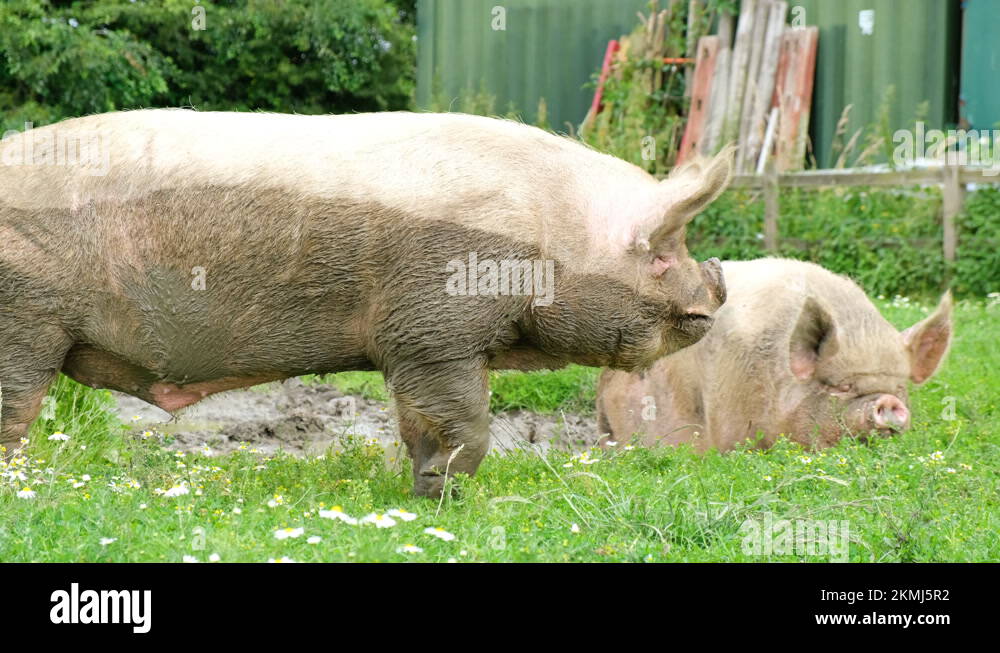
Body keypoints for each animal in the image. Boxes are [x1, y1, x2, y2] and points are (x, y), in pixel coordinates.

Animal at [0, 109, 732, 496]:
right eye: (658, 250)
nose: (713, 301)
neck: (548, 232)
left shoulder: (415, 342)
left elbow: (420, 423)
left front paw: (422, 491)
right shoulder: (433, 327)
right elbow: (466, 423)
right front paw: (444, 496)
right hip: (25, 314)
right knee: (17, 406)